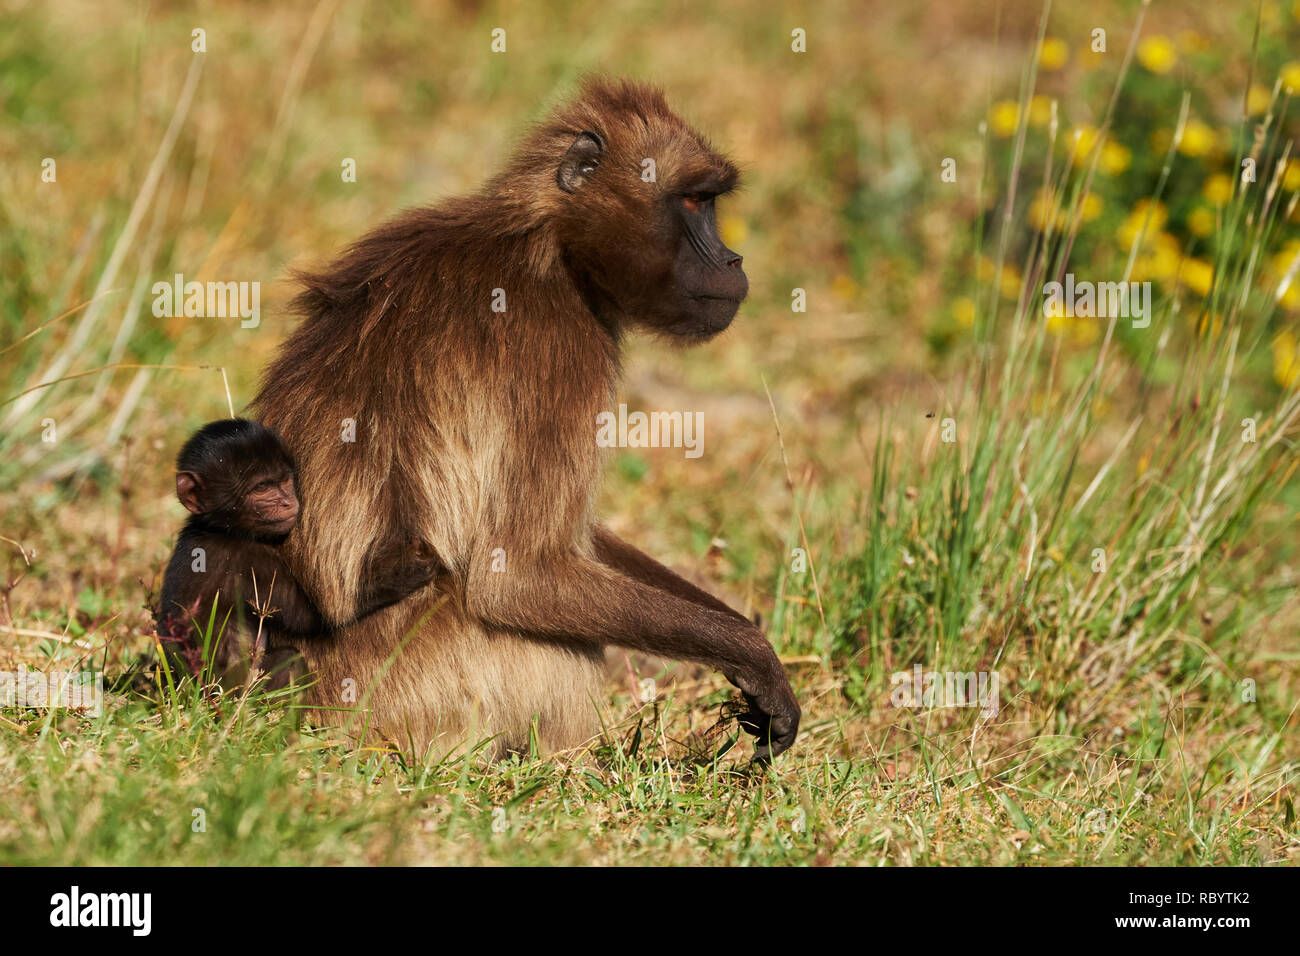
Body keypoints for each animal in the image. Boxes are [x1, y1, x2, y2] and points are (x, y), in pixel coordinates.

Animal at [155, 418, 443, 687]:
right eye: (261, 488)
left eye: (284, 480)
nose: (286, 501)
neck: (220, 529)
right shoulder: (251, 561)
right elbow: (315, 614)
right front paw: (403, 571)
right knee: (289, 661)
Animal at [253, 78, 800, 761]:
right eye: (695, 201)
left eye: (712, 202)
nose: (733, 261)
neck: (552, 243)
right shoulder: (562, 348)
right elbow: (518, 576)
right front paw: (755, 658)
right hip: (412, 696)